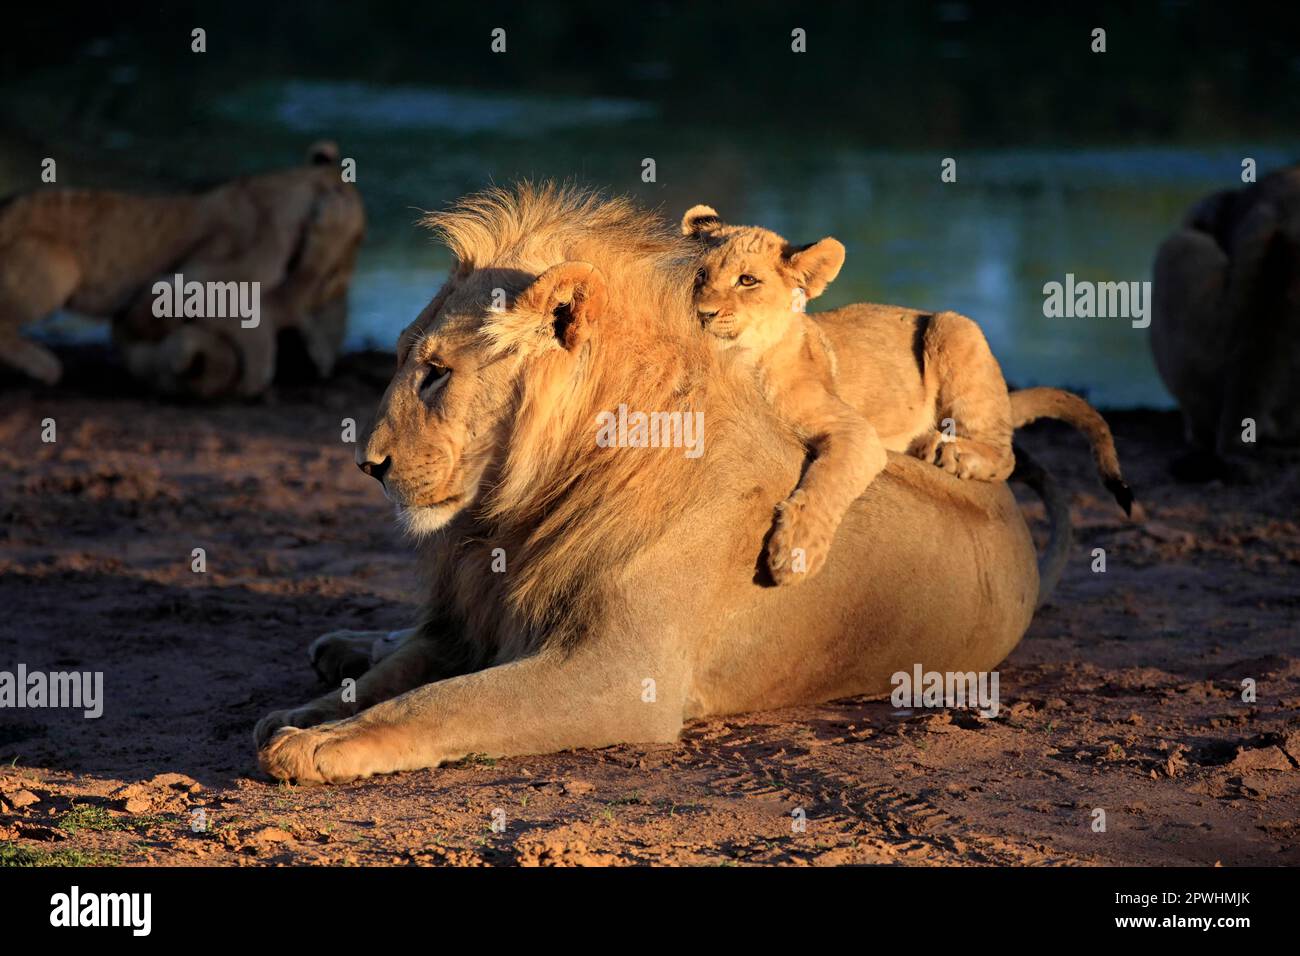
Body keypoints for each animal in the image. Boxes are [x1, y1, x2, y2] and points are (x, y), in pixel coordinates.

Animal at [0, 141, 364, 397]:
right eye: (358, 240)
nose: (342, 281)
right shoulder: (194, 281)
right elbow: (254, 327)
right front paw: (258, 367)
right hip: (58, 267)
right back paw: (43, 365)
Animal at [253, 184, 1075, 785]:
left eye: (435, 373)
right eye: (400, 359)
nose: (370, 464)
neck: (514, 513)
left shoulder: (622, 673)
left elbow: (444, 702)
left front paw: (315, 743)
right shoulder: (469, 623)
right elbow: (402, 672)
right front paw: (307, 713)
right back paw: (343, 646)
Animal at [682, 205, 1131, 583]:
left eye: (747, 280)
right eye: (700, 276)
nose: (701, 314)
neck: (741, 363)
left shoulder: (855, 432)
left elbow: (827, 482)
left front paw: (795, 552)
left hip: (953, 326)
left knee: (1005, 453)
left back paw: (952, 452)